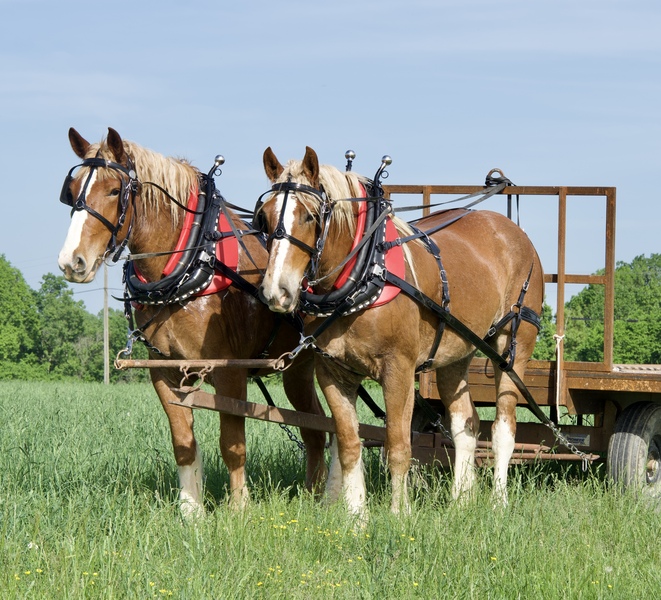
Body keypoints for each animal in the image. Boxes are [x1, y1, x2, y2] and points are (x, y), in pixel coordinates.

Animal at [57, 128, 327, 517]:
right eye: (73, 188)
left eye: (113, 189)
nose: (71, 262)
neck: (192, 263)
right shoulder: (165, 371)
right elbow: (183, 441)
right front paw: (190, 511)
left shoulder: (229, 373)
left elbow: (232, 443)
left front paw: (238, 509)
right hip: (296, 370)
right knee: (315, 426)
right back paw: (315, 493)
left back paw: (322, 493)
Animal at [257, 146, 544, 517]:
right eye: (264, 217)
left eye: (309, 216)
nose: (276, 292)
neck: (364, 275)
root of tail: (511, 229)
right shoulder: (333, 373)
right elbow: (349, 445)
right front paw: (356, 516)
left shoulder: (399, 371)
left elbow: (397, 444)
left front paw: (399, 513)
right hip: (456, 353)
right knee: (466, 424)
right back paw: (461, 501)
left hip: (513, 347)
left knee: (503, 427)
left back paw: (497, 501)